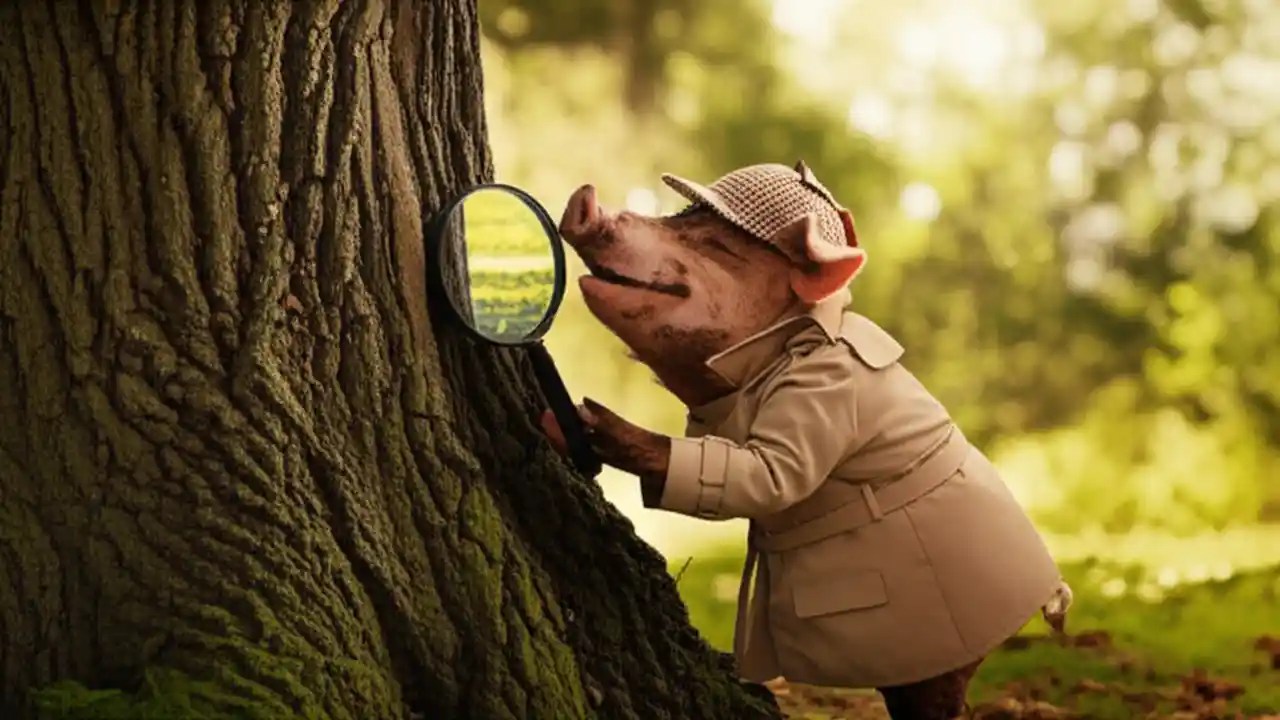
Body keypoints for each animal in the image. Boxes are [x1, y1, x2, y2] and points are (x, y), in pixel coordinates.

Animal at [543, 161, 1071, 720]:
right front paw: (559, 422)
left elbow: (768, 476)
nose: (584, 198)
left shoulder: (822, 393)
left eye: (717, 246)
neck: (761, 364)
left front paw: (589, 418)